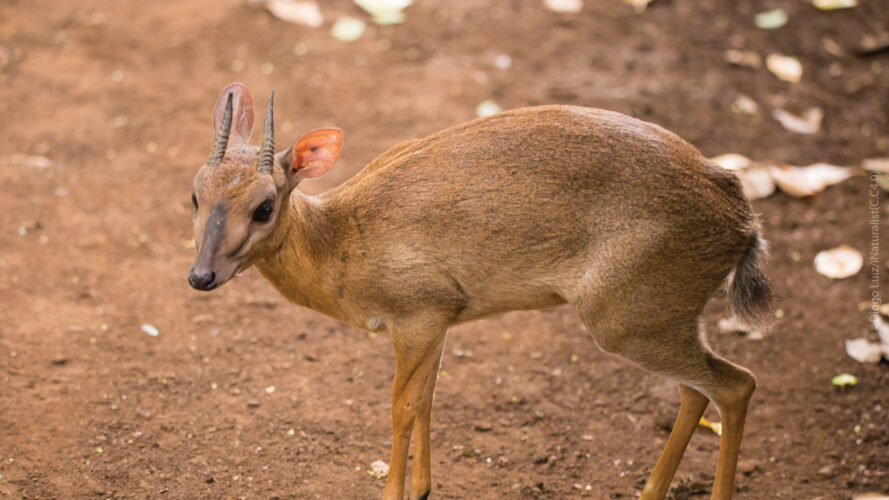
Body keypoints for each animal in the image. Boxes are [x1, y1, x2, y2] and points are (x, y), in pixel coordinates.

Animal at [188, 82, 772, 500]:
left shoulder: (417, 313)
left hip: (627, 316)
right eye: (195, 195)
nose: (200, 276)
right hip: (660, 316)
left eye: (264, 207)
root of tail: (741, 214)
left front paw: (395, 492)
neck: (341, 243)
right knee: (697, 390)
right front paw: (423, 489)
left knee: (736, 384)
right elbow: (427, 398)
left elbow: (402, 405)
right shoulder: (440, 318)